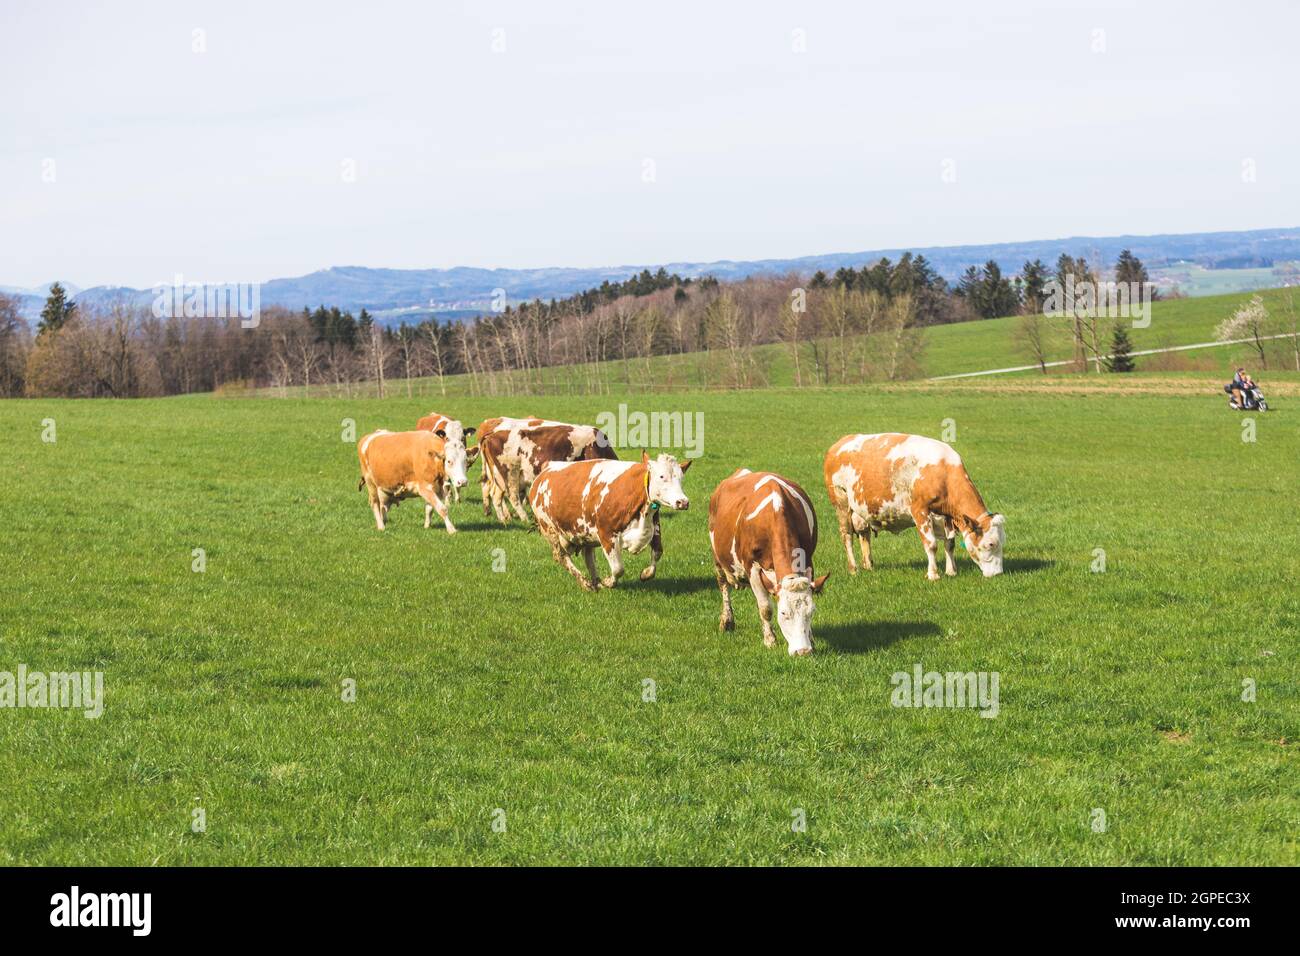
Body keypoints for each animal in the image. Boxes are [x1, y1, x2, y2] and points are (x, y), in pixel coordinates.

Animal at [478, 417, 618, 525]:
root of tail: (490, 436)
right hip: (510, 472)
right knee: (513, 496)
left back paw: (503, 520)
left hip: (498, 476)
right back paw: (525, 519)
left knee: (495, 495)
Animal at [529, 452, 691, 591]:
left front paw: (645, 574)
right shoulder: (606, 534)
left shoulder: (654, 526)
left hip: (584, 533)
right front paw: (609, 582)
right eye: (662, 476)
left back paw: (596, 582)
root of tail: (547, 469)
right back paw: (586, 583)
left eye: (681, 478)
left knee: (588, 557)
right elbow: (618, 568)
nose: (682, 502)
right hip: (549, 529)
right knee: (561, 556)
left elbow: (657, 552)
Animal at [708, 469, 830, 656]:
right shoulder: (752, 568)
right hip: (717, 559)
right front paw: (770, 640)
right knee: (723, 586)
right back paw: (727, 621)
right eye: (784, 613)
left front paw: (812, 639)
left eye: (812, 611)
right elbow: (765, 608)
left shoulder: (808, 561)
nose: (802, 651)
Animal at [823, 433, 1004, 581]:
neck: (943, 472)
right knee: (846, 535)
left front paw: (951, 571)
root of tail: (838, 445)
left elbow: (949, 543)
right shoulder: (920, 510)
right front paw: (933, 574)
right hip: (841, 502)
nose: (998, 574)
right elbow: (931, 544)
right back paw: (853, 569)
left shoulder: (945, 516)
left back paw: (868, 565)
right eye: (991, 544)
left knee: (864, 533)